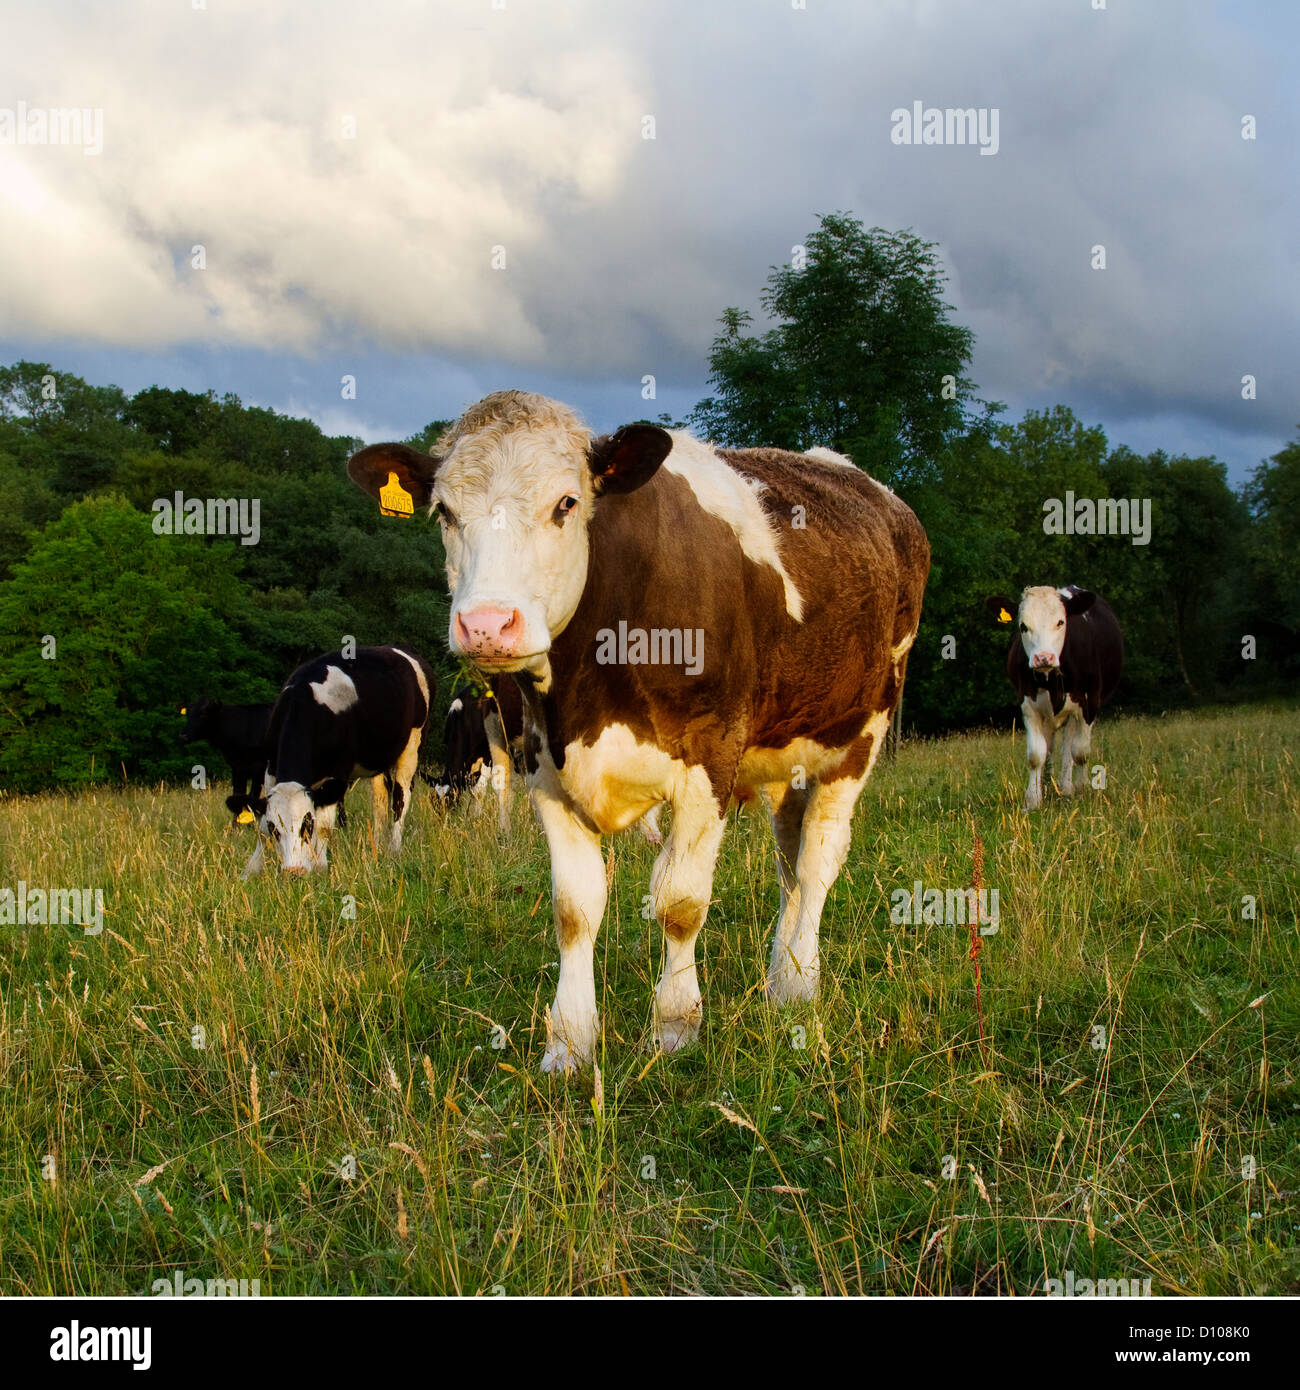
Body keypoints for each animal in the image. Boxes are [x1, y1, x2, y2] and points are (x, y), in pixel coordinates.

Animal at [241, 644, 436, 877]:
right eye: (275, 829)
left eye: (308, 824)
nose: (294, 870)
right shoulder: (271, 768)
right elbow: (261, 825)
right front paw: (251, 869)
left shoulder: (337, 772)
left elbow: (325, 826)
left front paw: (319, 866)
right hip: (377, 757)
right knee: (380, 797)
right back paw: (377, 845)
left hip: (413, 744)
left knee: (400, 796)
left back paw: (393, 848)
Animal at [348, 390, 928, 1072]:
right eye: (443, 510)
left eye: (566, 503)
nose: (488, 624)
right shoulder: (546, 766)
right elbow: (574, 910)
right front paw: (569, 1044)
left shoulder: (710, 759)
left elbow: (680, 902)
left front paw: (675, 1027)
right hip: (785, 755)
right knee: (789, 861)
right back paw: (779, 974)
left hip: (858, 734)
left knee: (816, 862)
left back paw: (797, 986)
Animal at [986, 586, 1124, 810]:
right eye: (1023, 626)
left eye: (1060, 622)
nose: (1043, 657)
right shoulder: (1028, 705)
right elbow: (1036, 754)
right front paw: (1033, 799)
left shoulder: (1090, 703)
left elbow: (1080, 752)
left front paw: (1082, 790)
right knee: (1052, 745)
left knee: (1069, 745)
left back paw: (1067, 787)